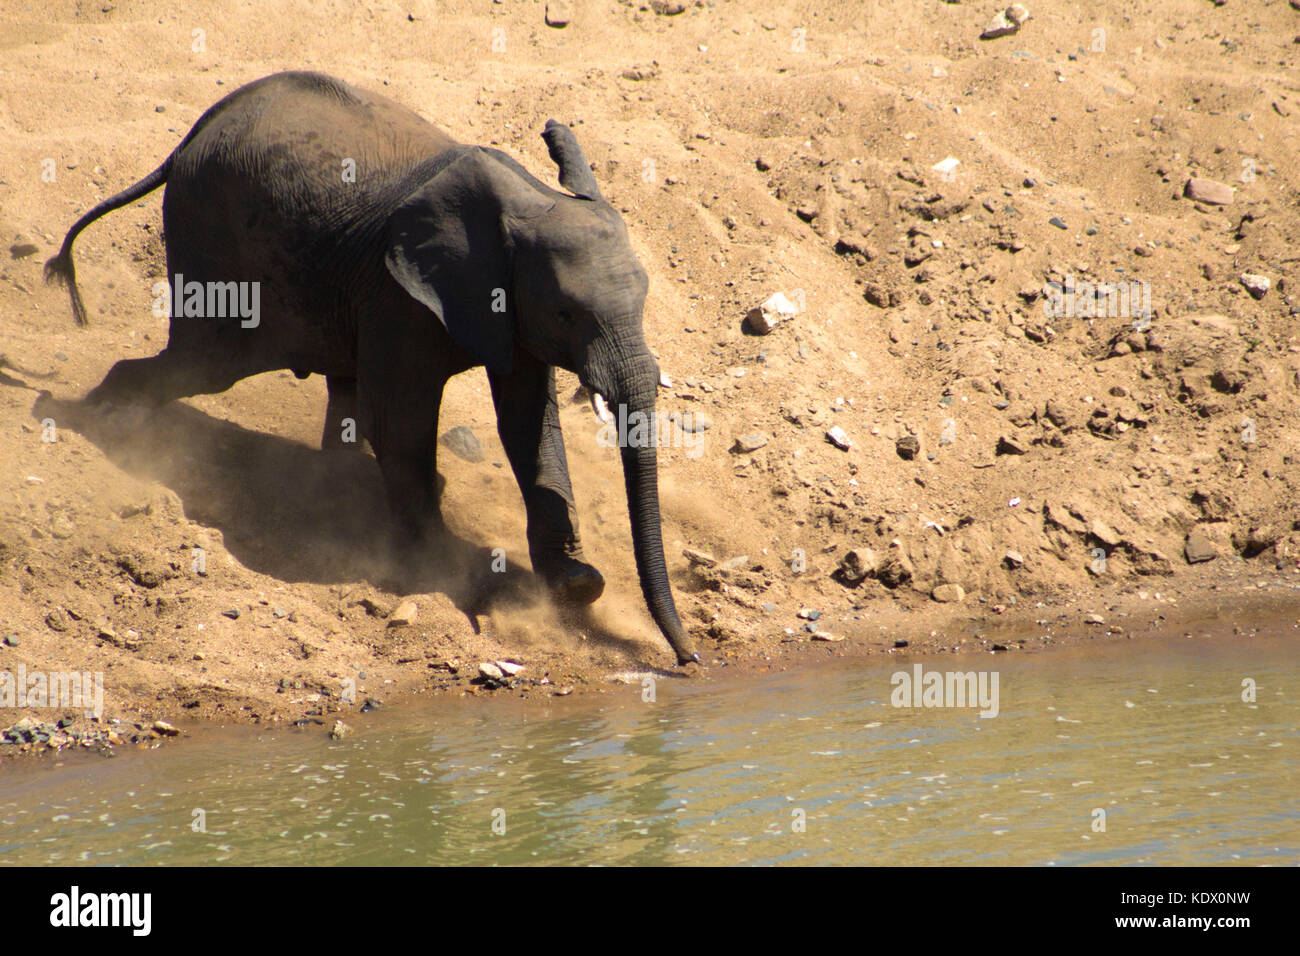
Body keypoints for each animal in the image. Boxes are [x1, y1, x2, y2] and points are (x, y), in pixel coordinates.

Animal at [44, 70, 699, 665]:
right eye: (567, 312)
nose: (689, 659)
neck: (527, 199)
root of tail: (189, 138)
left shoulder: (505, 311)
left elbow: (528, 426)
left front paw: (575, 586)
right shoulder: (396, 294)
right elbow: (402, 423)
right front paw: (451, 572)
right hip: (215, 243)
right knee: (205, 363)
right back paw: (105, 415)